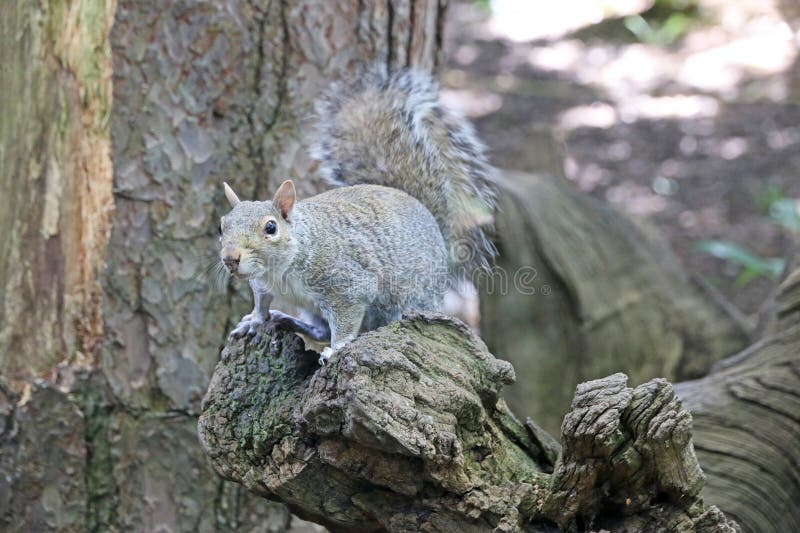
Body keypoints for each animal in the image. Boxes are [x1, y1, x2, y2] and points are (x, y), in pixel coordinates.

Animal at [219, 68, 497, 364]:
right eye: (222, 227)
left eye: (270, 228)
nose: (230, 258)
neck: (280, 271)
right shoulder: (262, 285)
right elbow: (261, 305)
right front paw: (254, 321)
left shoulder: (347, 285)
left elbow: (346, 320)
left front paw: (337, 348)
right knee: (319, 329)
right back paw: (287, 319)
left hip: (409, 301)